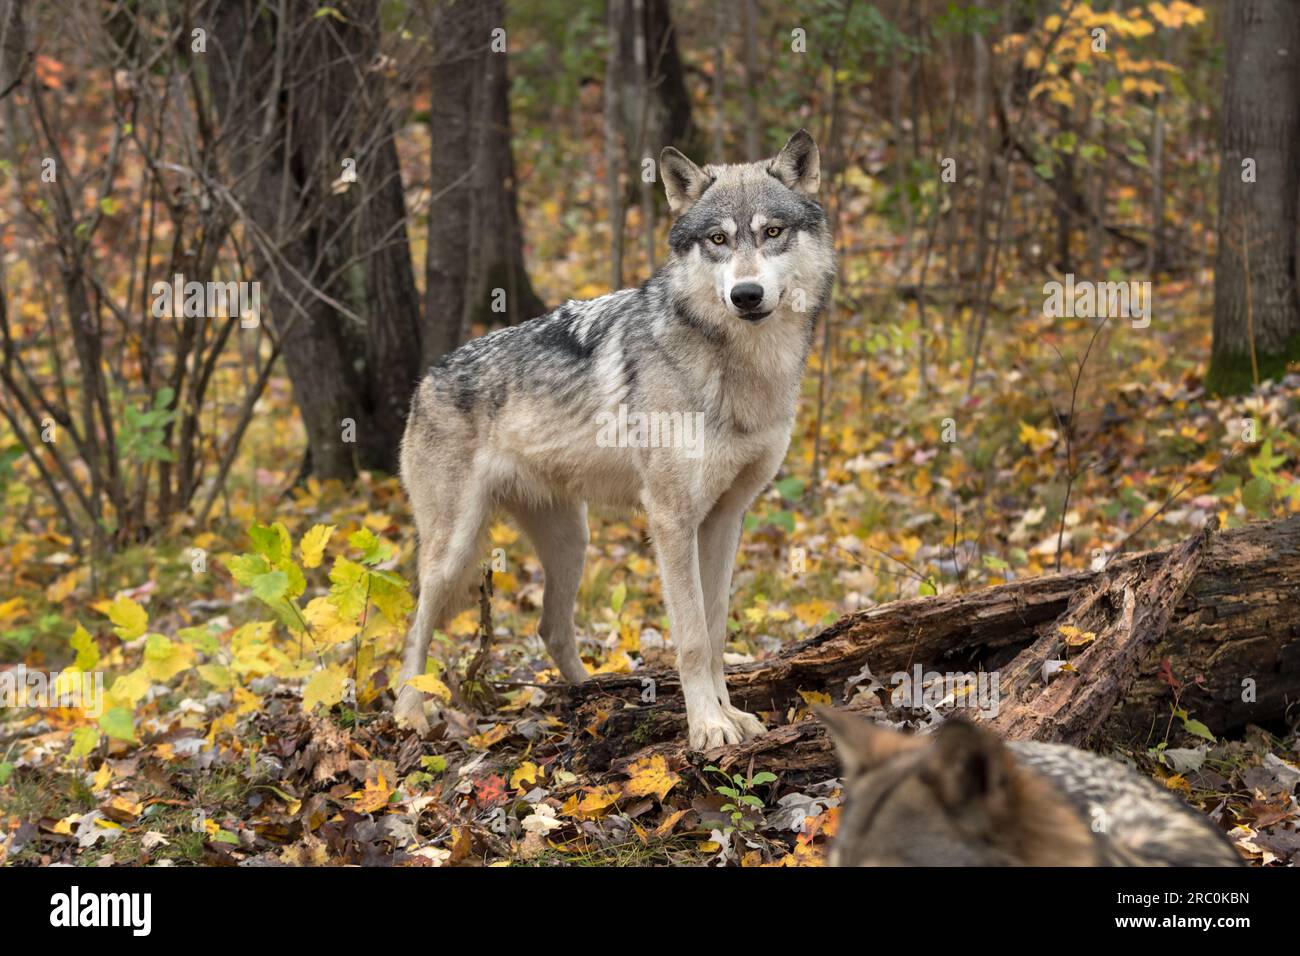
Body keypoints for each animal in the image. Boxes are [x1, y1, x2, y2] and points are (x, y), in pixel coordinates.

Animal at [393, 131, 836, 751]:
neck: (742, 370)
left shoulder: (725, 518)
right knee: (415, 631)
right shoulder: (672, 519)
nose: (746, 295)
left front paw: (733, 716)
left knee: (550, 627)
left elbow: (716, 629)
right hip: (454, 552)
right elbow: (692, 638)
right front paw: (707, 728)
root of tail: (425, 378)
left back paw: (591, 695)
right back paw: (410, 711)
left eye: (772, 232)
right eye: (718, 240)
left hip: (571, 542)